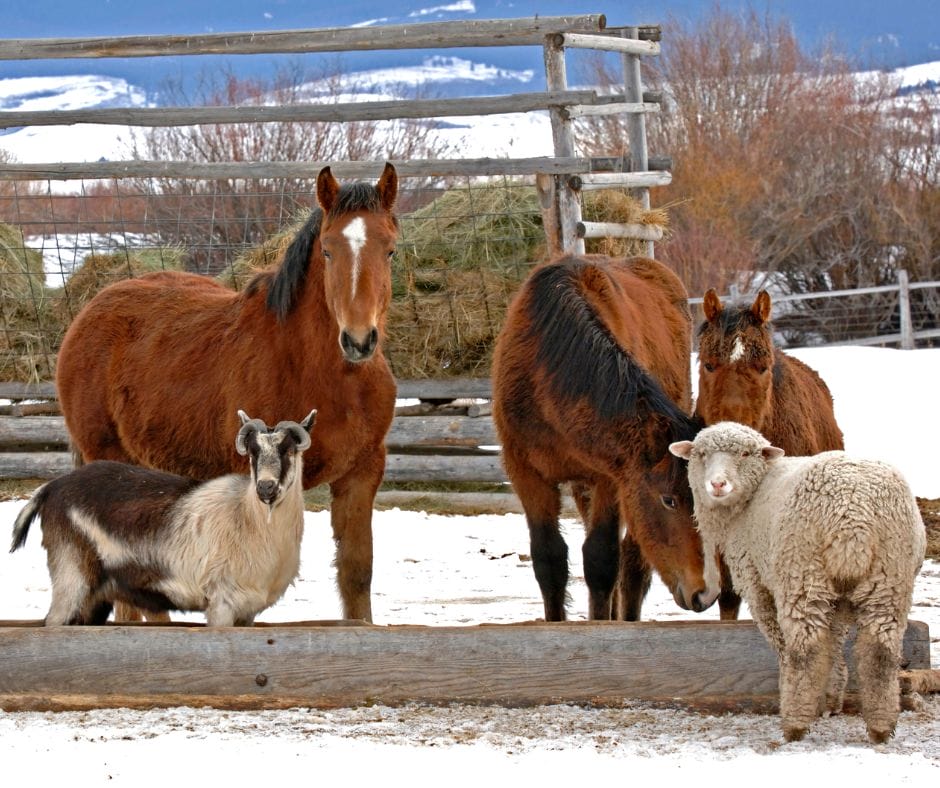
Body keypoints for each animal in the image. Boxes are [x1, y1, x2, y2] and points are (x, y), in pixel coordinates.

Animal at [11, 409, 316, 627]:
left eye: (288, 450)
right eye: (253, 452)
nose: (266, 488)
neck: (247, 517)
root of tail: (51, 488)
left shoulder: (247, 612)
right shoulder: (221, 603)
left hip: (95, 597)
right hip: (71, 574)